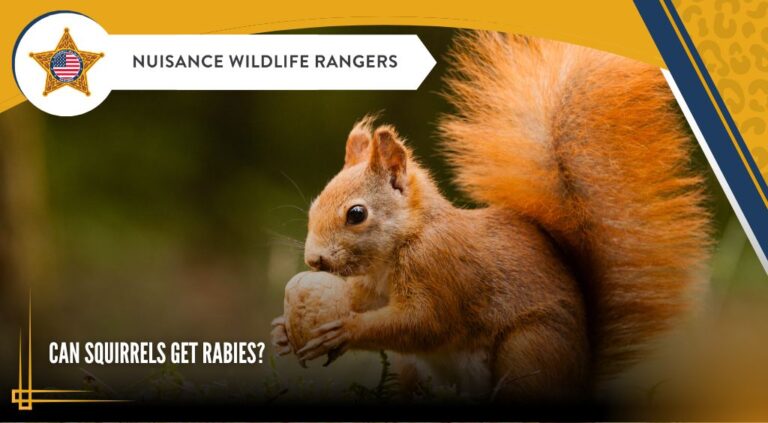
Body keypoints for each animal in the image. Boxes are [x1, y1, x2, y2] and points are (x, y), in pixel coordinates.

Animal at [271, 31, 711, 402]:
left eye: (357, 214)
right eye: (314, 205)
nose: (314, 260)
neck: (405, 241)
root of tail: (582, 378)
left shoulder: (440, 269)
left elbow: (423, 323)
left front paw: (346, 330)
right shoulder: (371, 287)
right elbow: (363, 301)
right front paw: (281, 331)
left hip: (530, 347)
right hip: (418, 367)